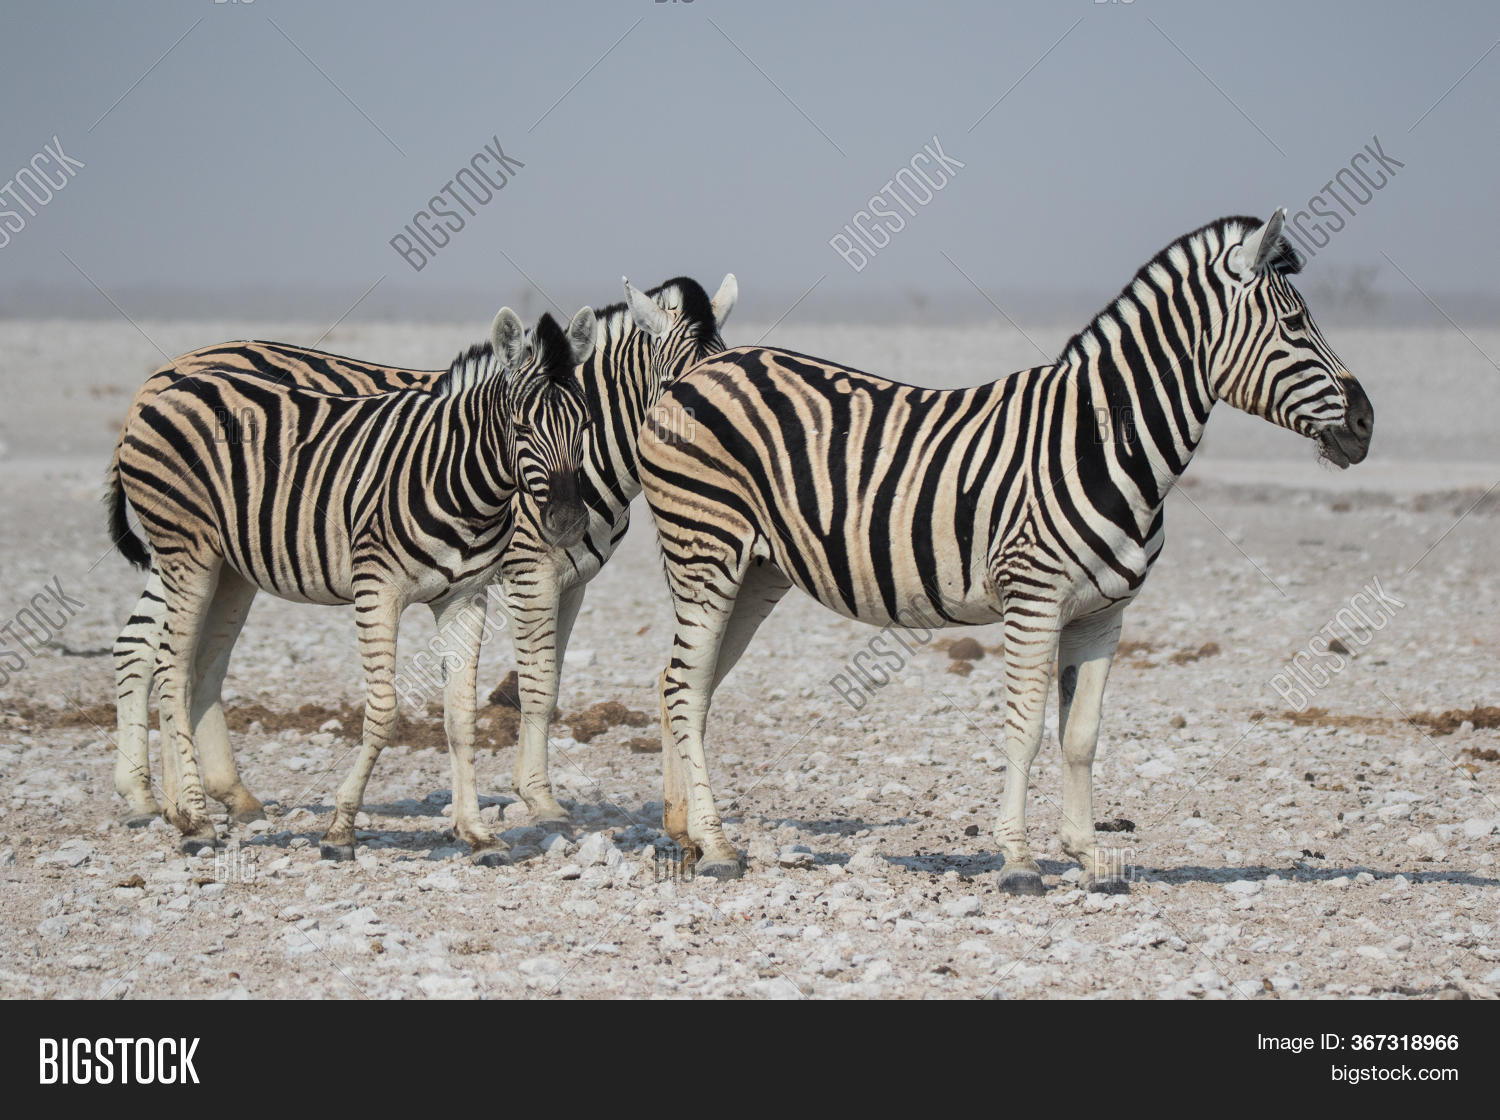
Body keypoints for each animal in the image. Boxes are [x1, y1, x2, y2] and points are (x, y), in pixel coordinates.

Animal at [107, 275, 735, 831]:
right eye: (681, 386)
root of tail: (166, 371)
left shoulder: (573, 578)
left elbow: (546, 681)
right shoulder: (531, 568)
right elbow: (537, 686)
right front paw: (539, 799)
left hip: (230, 562)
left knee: (178, 656)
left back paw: (199, 796)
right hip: (190, 550)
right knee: (152, 650)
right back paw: (156, 799)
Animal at [638, 209, 1373, 890]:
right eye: (1295, 324)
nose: (1367, 423)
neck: (1104, 443)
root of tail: (701, 367)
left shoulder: (1104, 615)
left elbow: (1081, 737)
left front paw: (1090, 854)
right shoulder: (1034, 599)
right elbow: (1025, 729)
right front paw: (1019, 860)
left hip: (756, 571)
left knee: (685, 685)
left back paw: (690, 834)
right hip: (706, 552)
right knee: (683, 686)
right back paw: (718, 848)